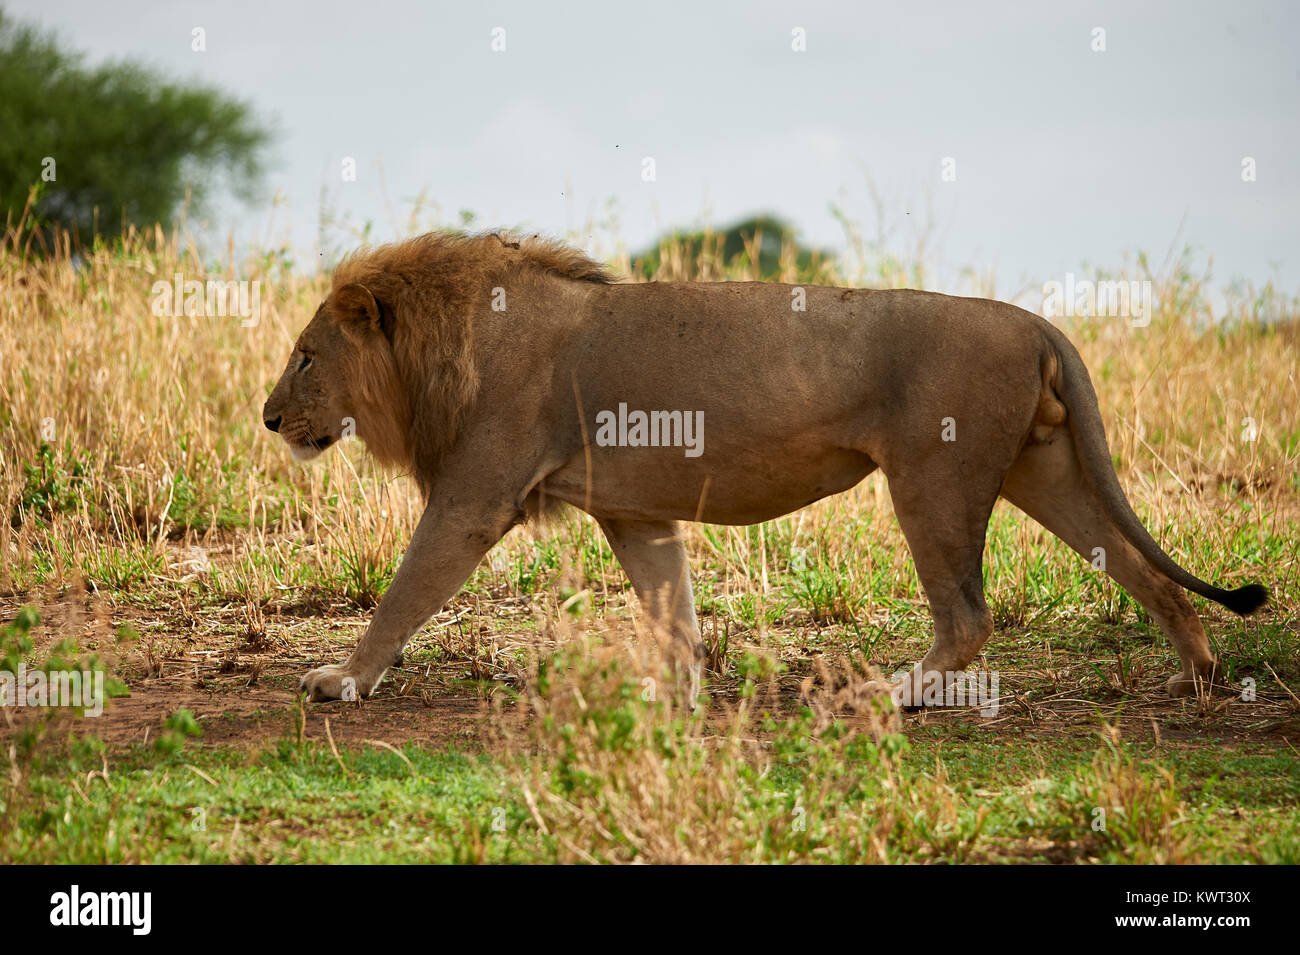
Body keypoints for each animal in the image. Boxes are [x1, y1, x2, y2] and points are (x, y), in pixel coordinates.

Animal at [262, 231, 1267, 706]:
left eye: (306, 356)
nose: (269, 418)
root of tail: (1032, 320)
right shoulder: (633, 511)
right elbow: (670, 608)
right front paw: (674, 694)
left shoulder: (474, 494)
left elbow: (405, 591)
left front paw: (341, 679)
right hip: (1042, 468)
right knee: (1143, 569)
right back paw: (1194, 675)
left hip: (933, 478)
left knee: (969, 615)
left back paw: (896, 692)